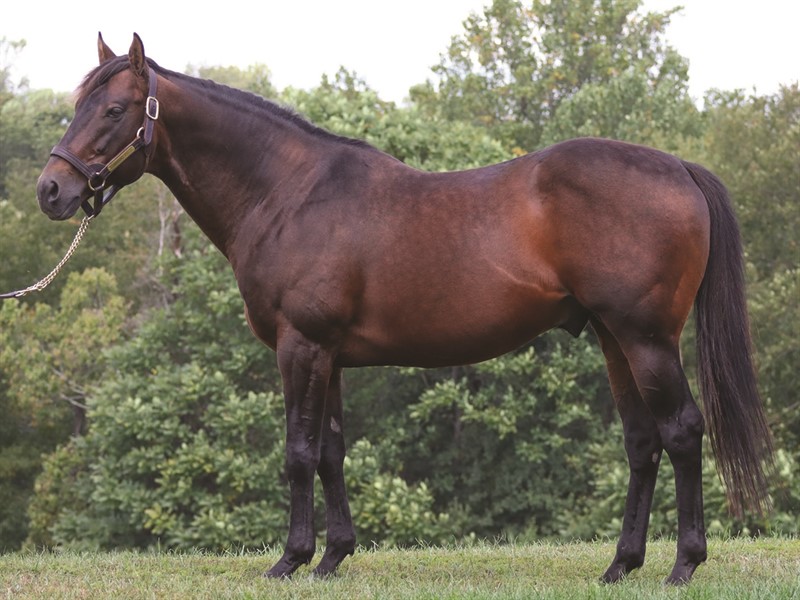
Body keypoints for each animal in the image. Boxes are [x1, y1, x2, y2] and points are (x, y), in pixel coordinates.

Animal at [36, 33, 773, 584]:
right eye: (79, 103)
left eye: (114, 110)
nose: (51, 190)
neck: (288, 193)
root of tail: (679, 167)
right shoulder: (328, 355)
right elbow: (330, 450)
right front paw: (333, 556)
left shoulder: (300, 346)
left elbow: (298, 451)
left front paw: (290, 559)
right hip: (613, 339)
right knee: (643, 442)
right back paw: (621, 566)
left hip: (647, 339)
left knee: (682, 432)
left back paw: (683, 566)